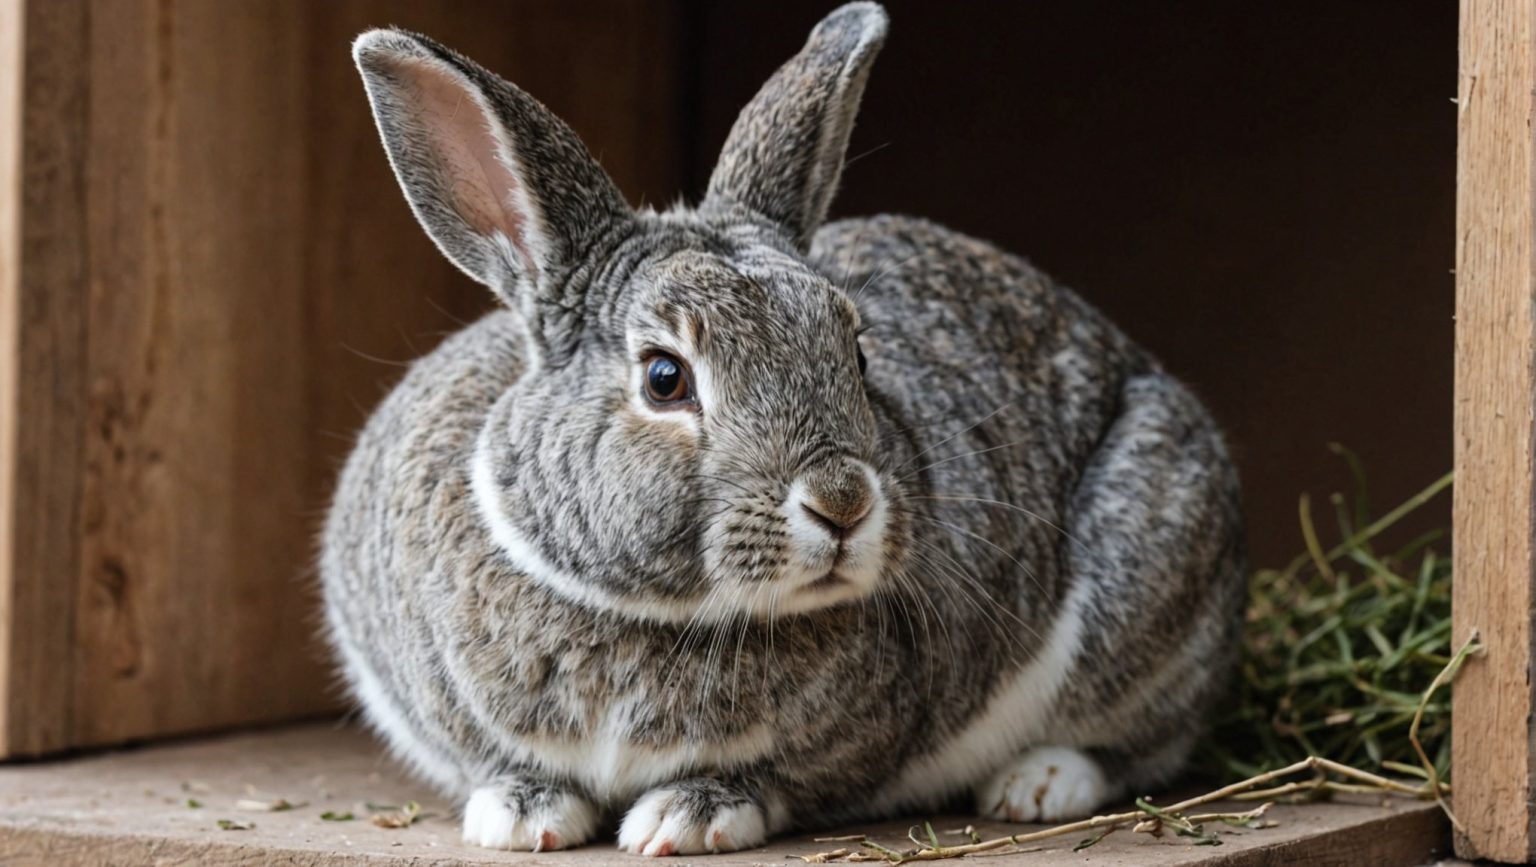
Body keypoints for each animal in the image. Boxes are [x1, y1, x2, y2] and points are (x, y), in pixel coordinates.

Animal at [322, 1, 1246, 856]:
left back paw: (1038, 786)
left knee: (1139, 739)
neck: (658, 612)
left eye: (858, 354)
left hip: (1149, 578)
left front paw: (686, 818)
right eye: (665, 378)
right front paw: (519, 816)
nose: (842, 503)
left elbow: (777, 777)